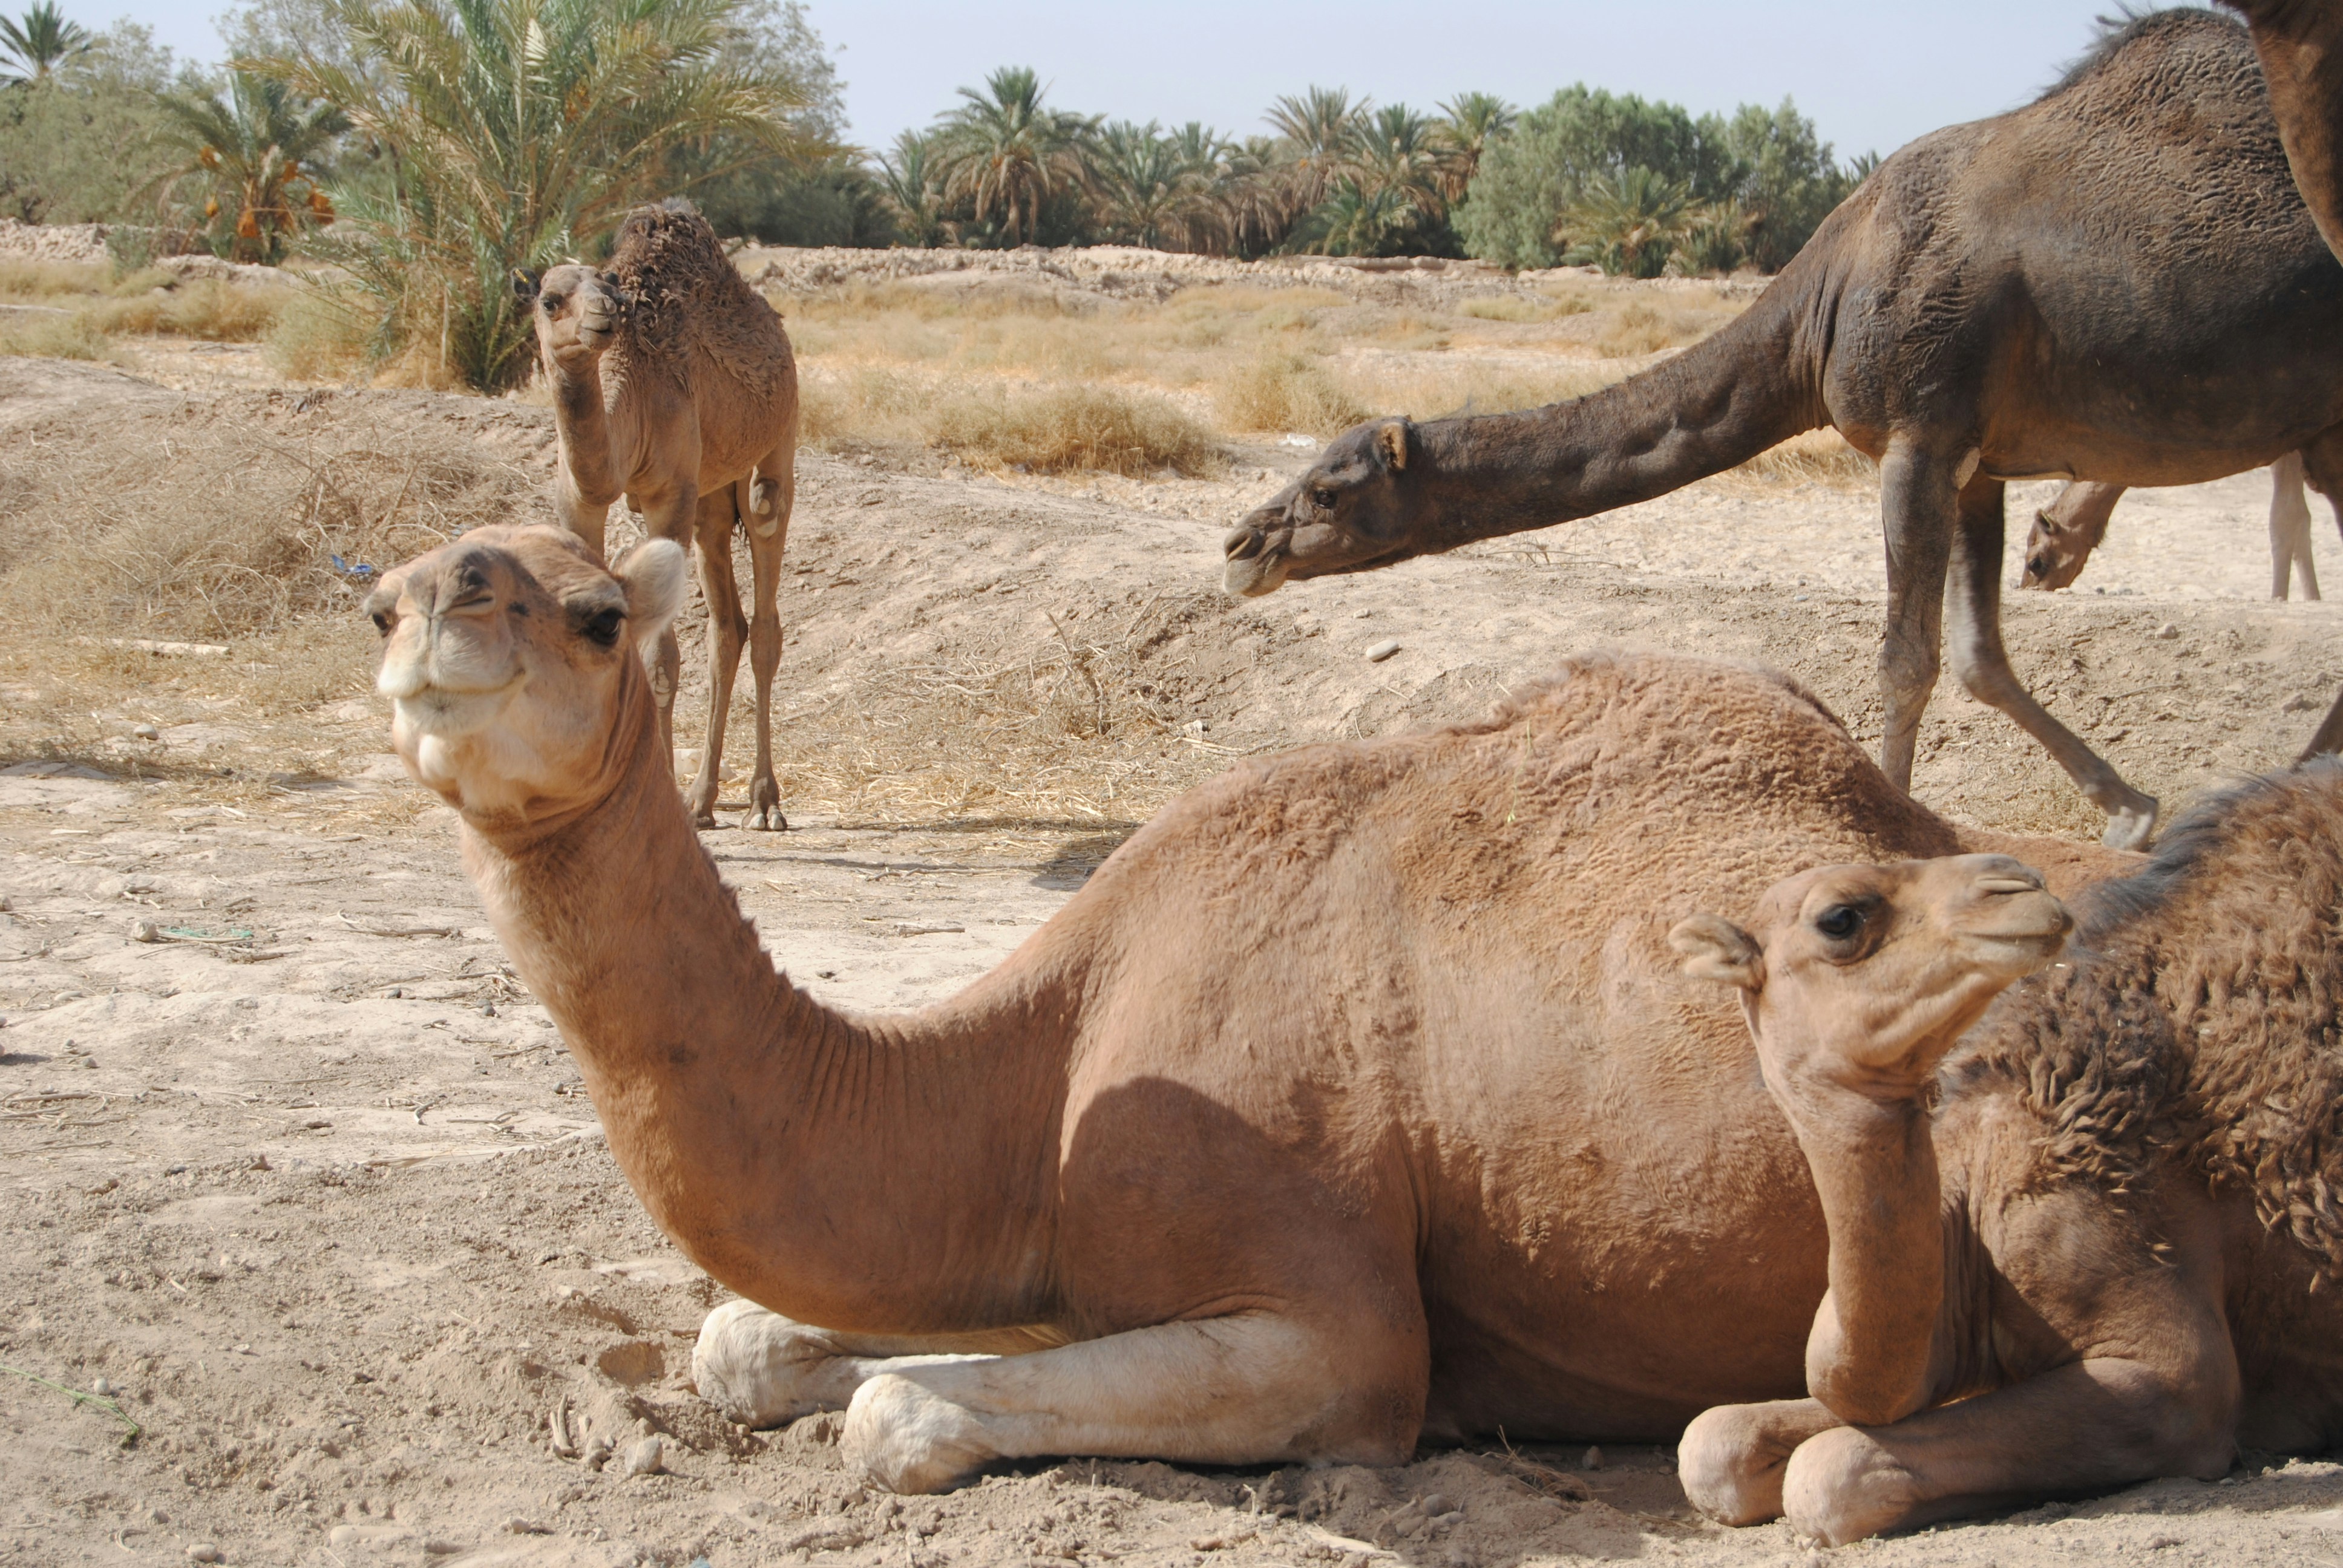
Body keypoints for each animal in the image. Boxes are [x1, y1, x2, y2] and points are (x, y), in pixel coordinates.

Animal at [368, 522, 2171, 1500]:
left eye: (598, 613)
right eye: (377, 600)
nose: (434, 609)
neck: (1044, 1059)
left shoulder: (1338, 1324)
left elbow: (892, 1408)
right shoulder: (1056, 1263)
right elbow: (748, 1340)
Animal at [515, 197, 798, 831]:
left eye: (610, 292)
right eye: (550, 300)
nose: (603, 318)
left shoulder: (669, 494)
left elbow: (660, 659)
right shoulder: (580, 505)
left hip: (778, 443)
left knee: (766, 599)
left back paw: (764, 802)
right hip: (712, 495)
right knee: (727, 628)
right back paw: (702, 800)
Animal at [2021, 454, 2334, 600]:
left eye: (2035, 562)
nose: (2028, 589)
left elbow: (2285, 519)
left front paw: (2281, 599)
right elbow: (2300, 522)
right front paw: (2313, 600)